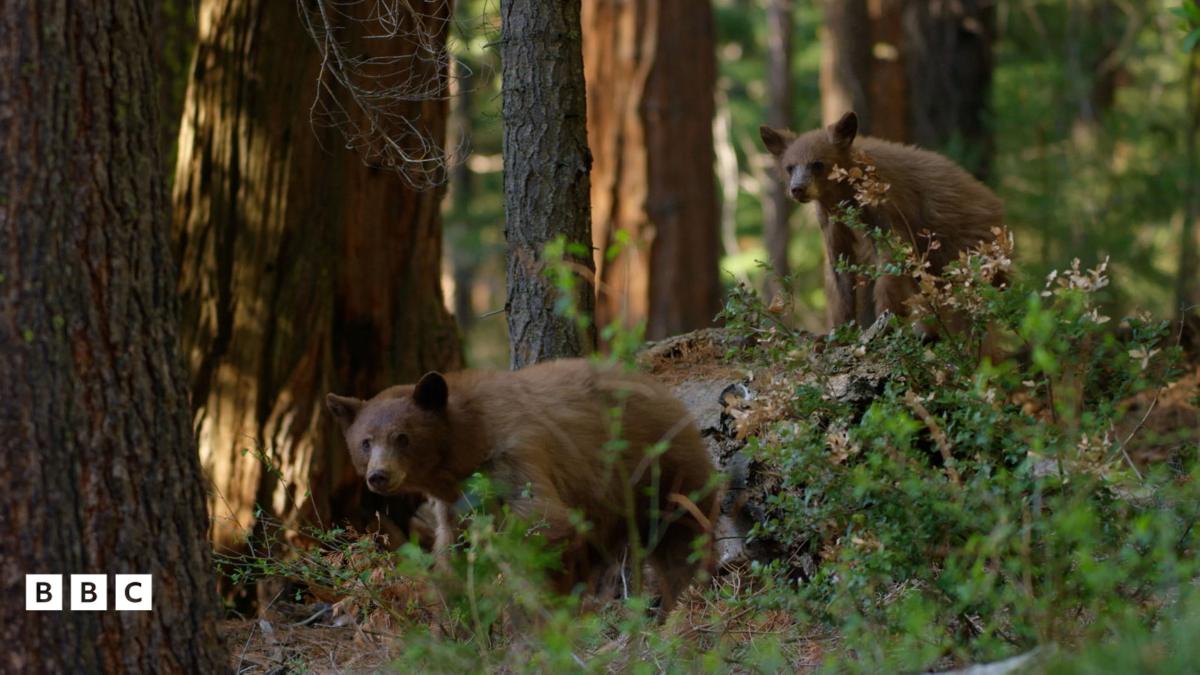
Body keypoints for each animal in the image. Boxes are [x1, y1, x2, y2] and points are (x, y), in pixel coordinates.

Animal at [325, 358, 720, 615]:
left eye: (402, 437)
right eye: (366, 442)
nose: (379, 475)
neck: (468, 443)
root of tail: (663, 389)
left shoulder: (515, 454)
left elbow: (543, 523)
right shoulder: (455, 505)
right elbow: (455, 550)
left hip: (661, 466)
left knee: (681, 533)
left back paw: (681, 597)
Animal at [760, 111, 1009, 332]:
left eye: (817, 164)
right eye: (790, 167)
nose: (797, 189)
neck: (844, 193)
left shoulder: (884, 206)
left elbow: (891, 257)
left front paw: (885, 322)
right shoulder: (832, 220)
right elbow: (840, 272)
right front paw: (842, 329)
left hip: (967, 251)